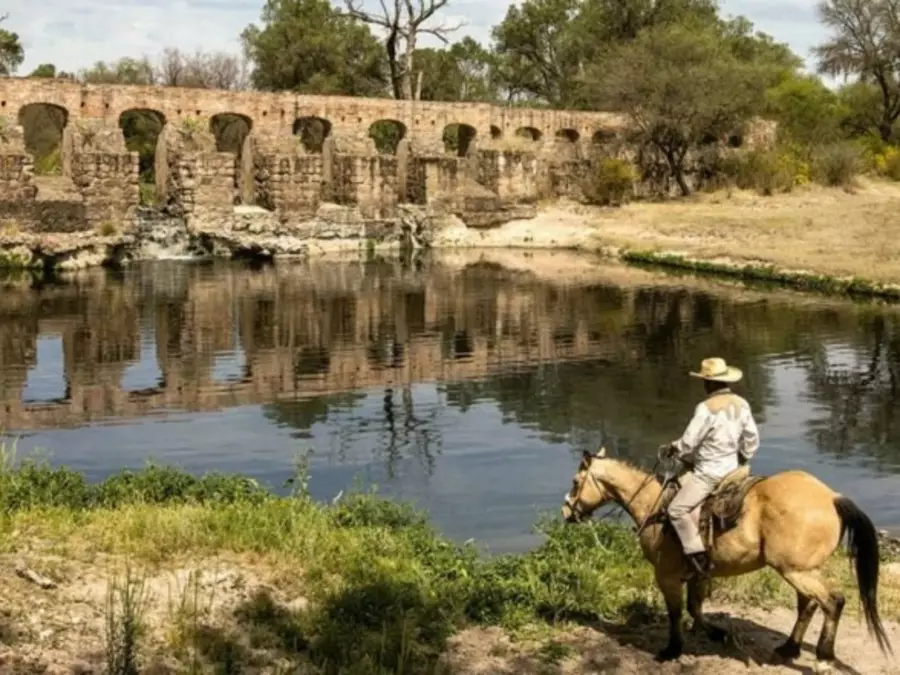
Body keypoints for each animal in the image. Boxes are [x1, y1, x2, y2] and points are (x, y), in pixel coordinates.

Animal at [560, 446, 888, 668]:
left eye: (575, 482)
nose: (567, 512)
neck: (655, 506)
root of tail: (831, 497)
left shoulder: (666, 576)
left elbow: (676, 613)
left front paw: (672, 650)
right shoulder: (696, 573)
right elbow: (694, 608)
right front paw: (717, 633)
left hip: (796, 571)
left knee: (833, 601)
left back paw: (824, 657)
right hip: (803, 570)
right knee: (808, 605)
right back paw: (789, 648)